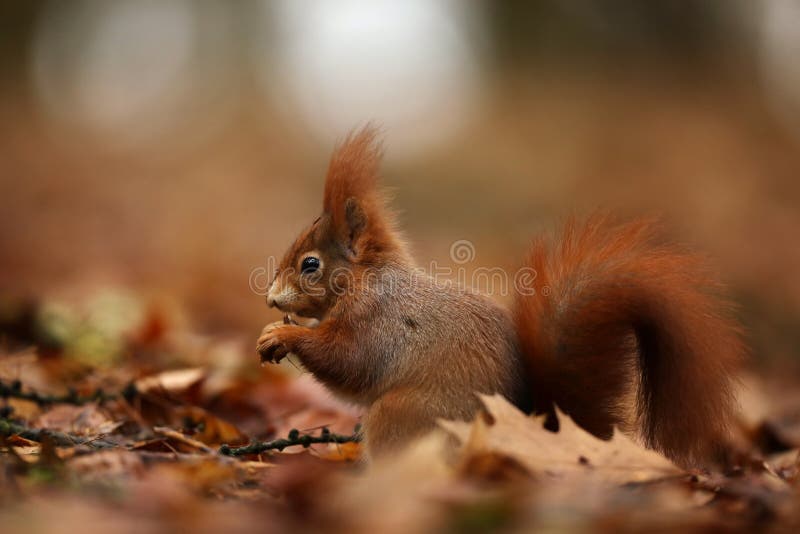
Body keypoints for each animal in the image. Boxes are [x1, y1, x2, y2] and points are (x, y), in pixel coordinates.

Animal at [257, 127, 744, 466]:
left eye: (310, 265)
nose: (271, 298)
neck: (368, 279)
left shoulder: (378, 320)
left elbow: (349, 360)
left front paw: (282, 335)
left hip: (402, 415)